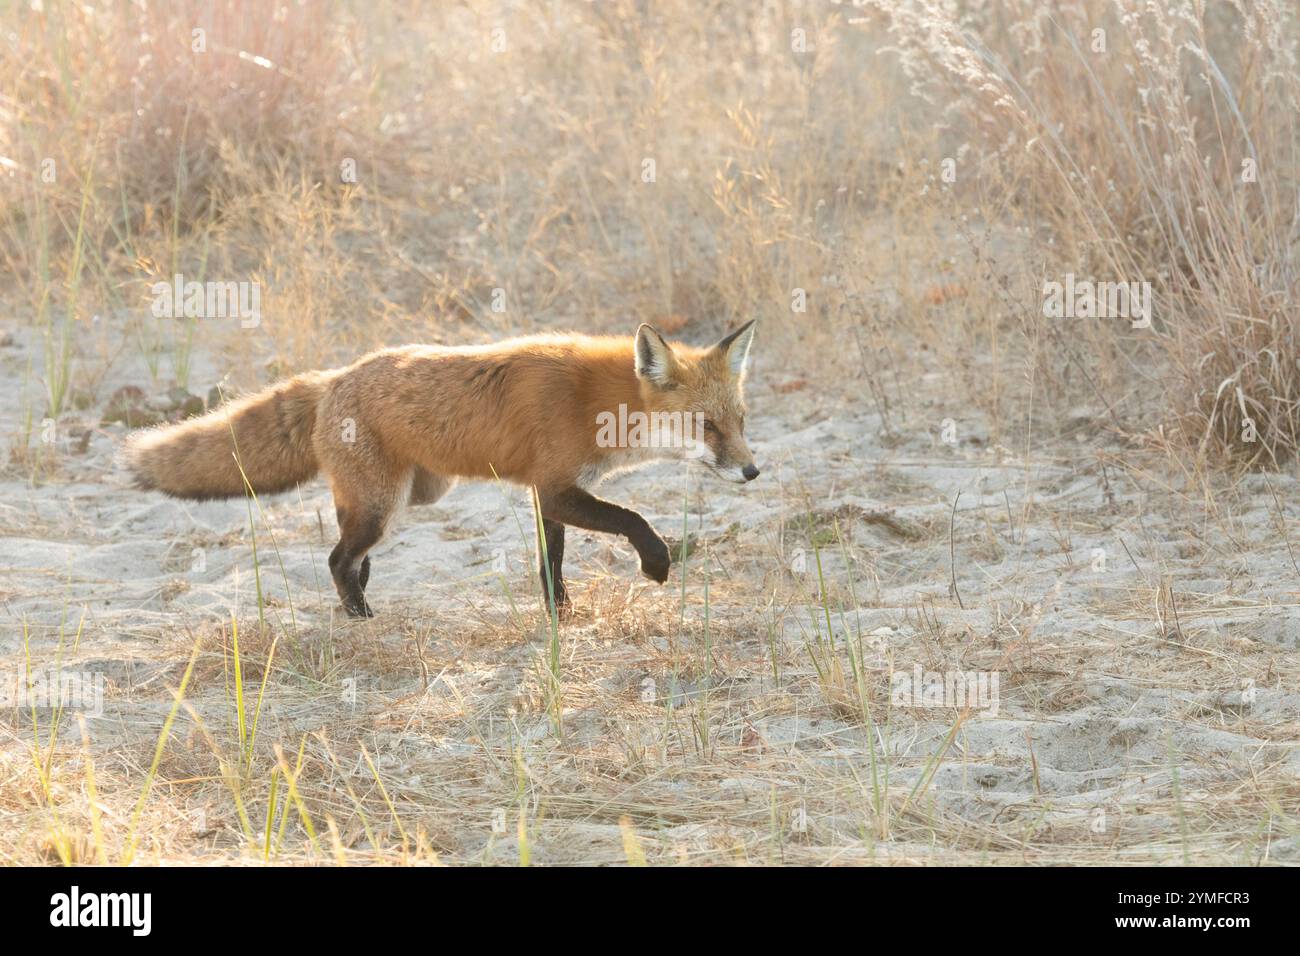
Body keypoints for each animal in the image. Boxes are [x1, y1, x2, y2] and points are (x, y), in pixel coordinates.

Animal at [123, 320, 760, 618]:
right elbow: (633, 519)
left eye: (742, 420)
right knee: (335, 557)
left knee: (348, 549)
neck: (596, 403)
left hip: (409, 497)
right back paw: (360, 614)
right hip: (385, 504)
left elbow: (550, 563)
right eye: (706, 427)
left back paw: (359, 592)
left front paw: (559, 616)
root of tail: (333, 377)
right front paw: (656, 564)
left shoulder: (547, 492)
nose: (753, 472)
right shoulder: (556, 487)